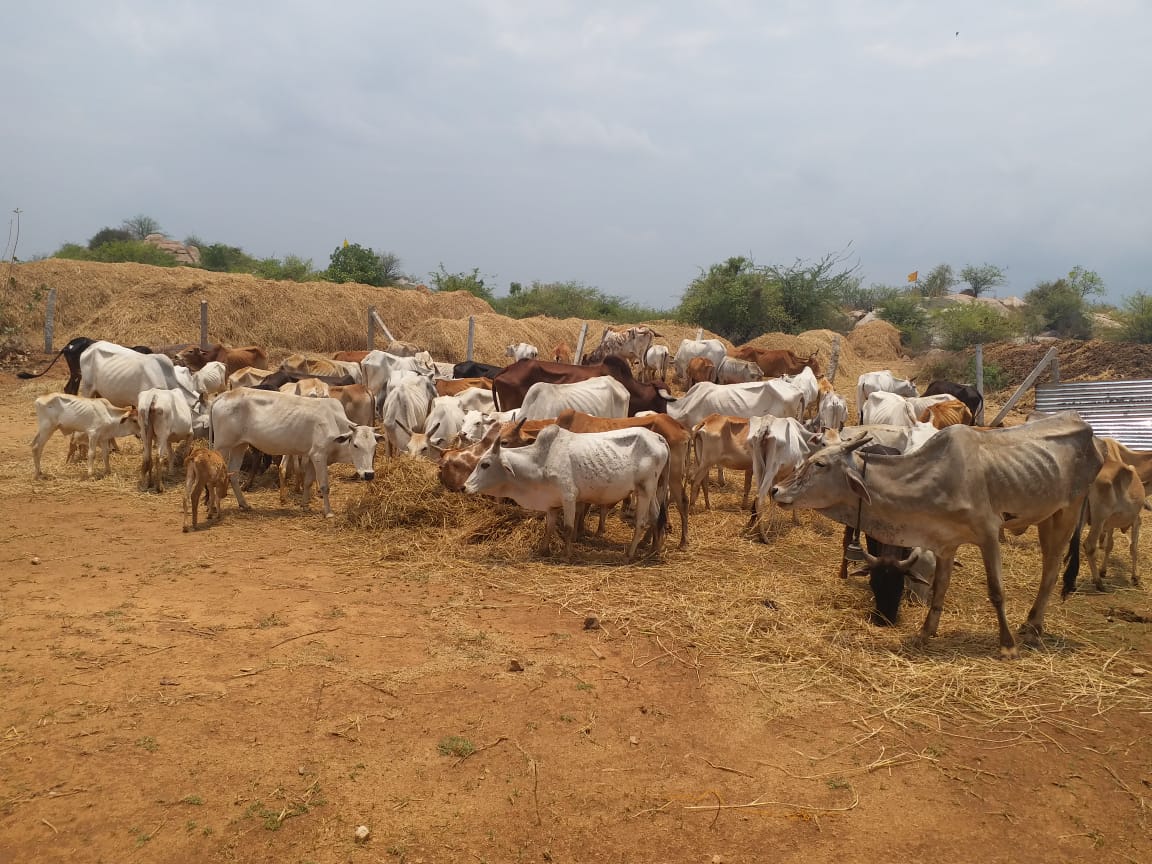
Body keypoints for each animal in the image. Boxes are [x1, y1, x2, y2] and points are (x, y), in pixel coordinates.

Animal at [209, 388, 383, 517]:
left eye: (374, 446)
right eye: (356, 445)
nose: (369, 474)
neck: (334, 422)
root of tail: (224, 395)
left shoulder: (312, 457)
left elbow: (308, 482)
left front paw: (305, 505)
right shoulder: (319, 456)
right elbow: (324, 485)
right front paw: (328, 512)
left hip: (239, 446)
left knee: (233, 473)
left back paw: (244, 504)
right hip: (222, 447)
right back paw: (214, 510)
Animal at [463, 424, 670, 560]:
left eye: (485, 464)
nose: (464, 487)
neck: (541, 461)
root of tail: (658, 437)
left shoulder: (569, 497)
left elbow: (569, 528)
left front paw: (566, 554)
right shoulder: (552, 503)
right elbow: (549, 526)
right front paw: (544, 550)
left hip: (645, 490)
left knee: (641, 521)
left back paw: (630, 554)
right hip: (651, 491)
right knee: (656, 516)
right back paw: (654, 551)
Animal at [556, 409, 691, 548]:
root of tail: (678, 426)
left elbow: (580, 509)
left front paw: (577, 535)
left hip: (673, 476)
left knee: (682, 502)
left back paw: (682, 541)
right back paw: (651, 541)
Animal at [770, 413, 1102, 658]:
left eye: (820, 463)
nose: (776, 490)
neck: (933, 477)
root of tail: (1091, 434)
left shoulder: (988, 534)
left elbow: (996, 591)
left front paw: (1007, 646)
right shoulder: (945, 542)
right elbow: (939, 588)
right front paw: (924, 633)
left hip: (1067, 512)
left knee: (1051, 569)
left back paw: (1032, 628)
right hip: (1047, 517)